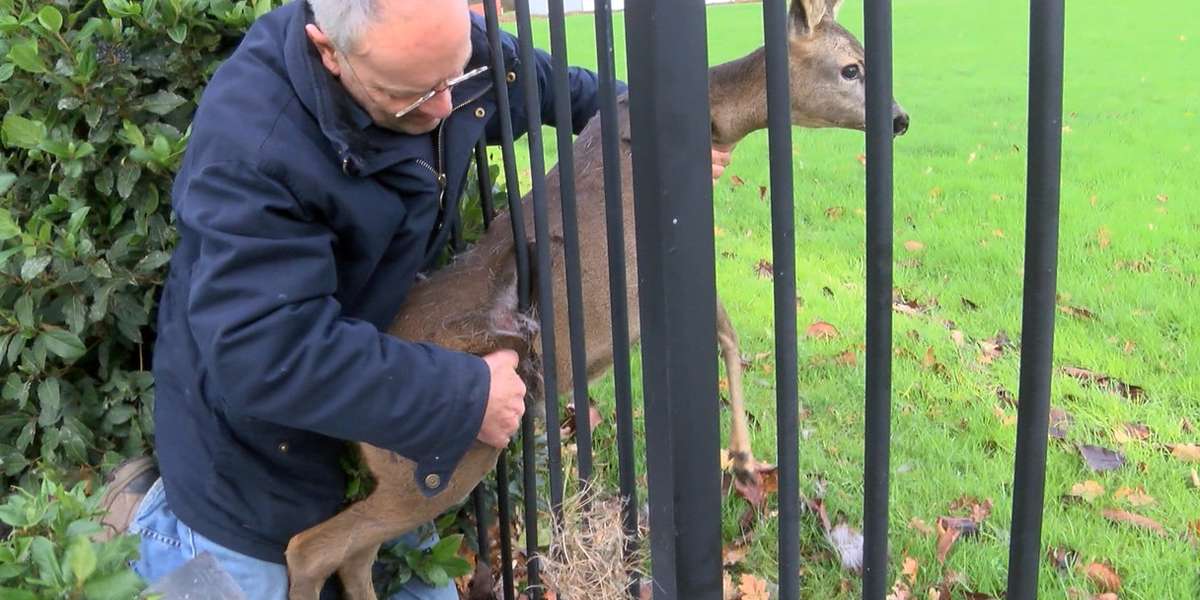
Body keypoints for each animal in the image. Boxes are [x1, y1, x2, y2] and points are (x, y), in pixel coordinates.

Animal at [285, 1, 902, 600]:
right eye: (851, 67)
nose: (900, 118)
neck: (712, 125)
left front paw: (745, 460)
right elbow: (727, 332)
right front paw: (746, 463)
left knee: (354, 555)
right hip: (442, 459)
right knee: (311, 549)